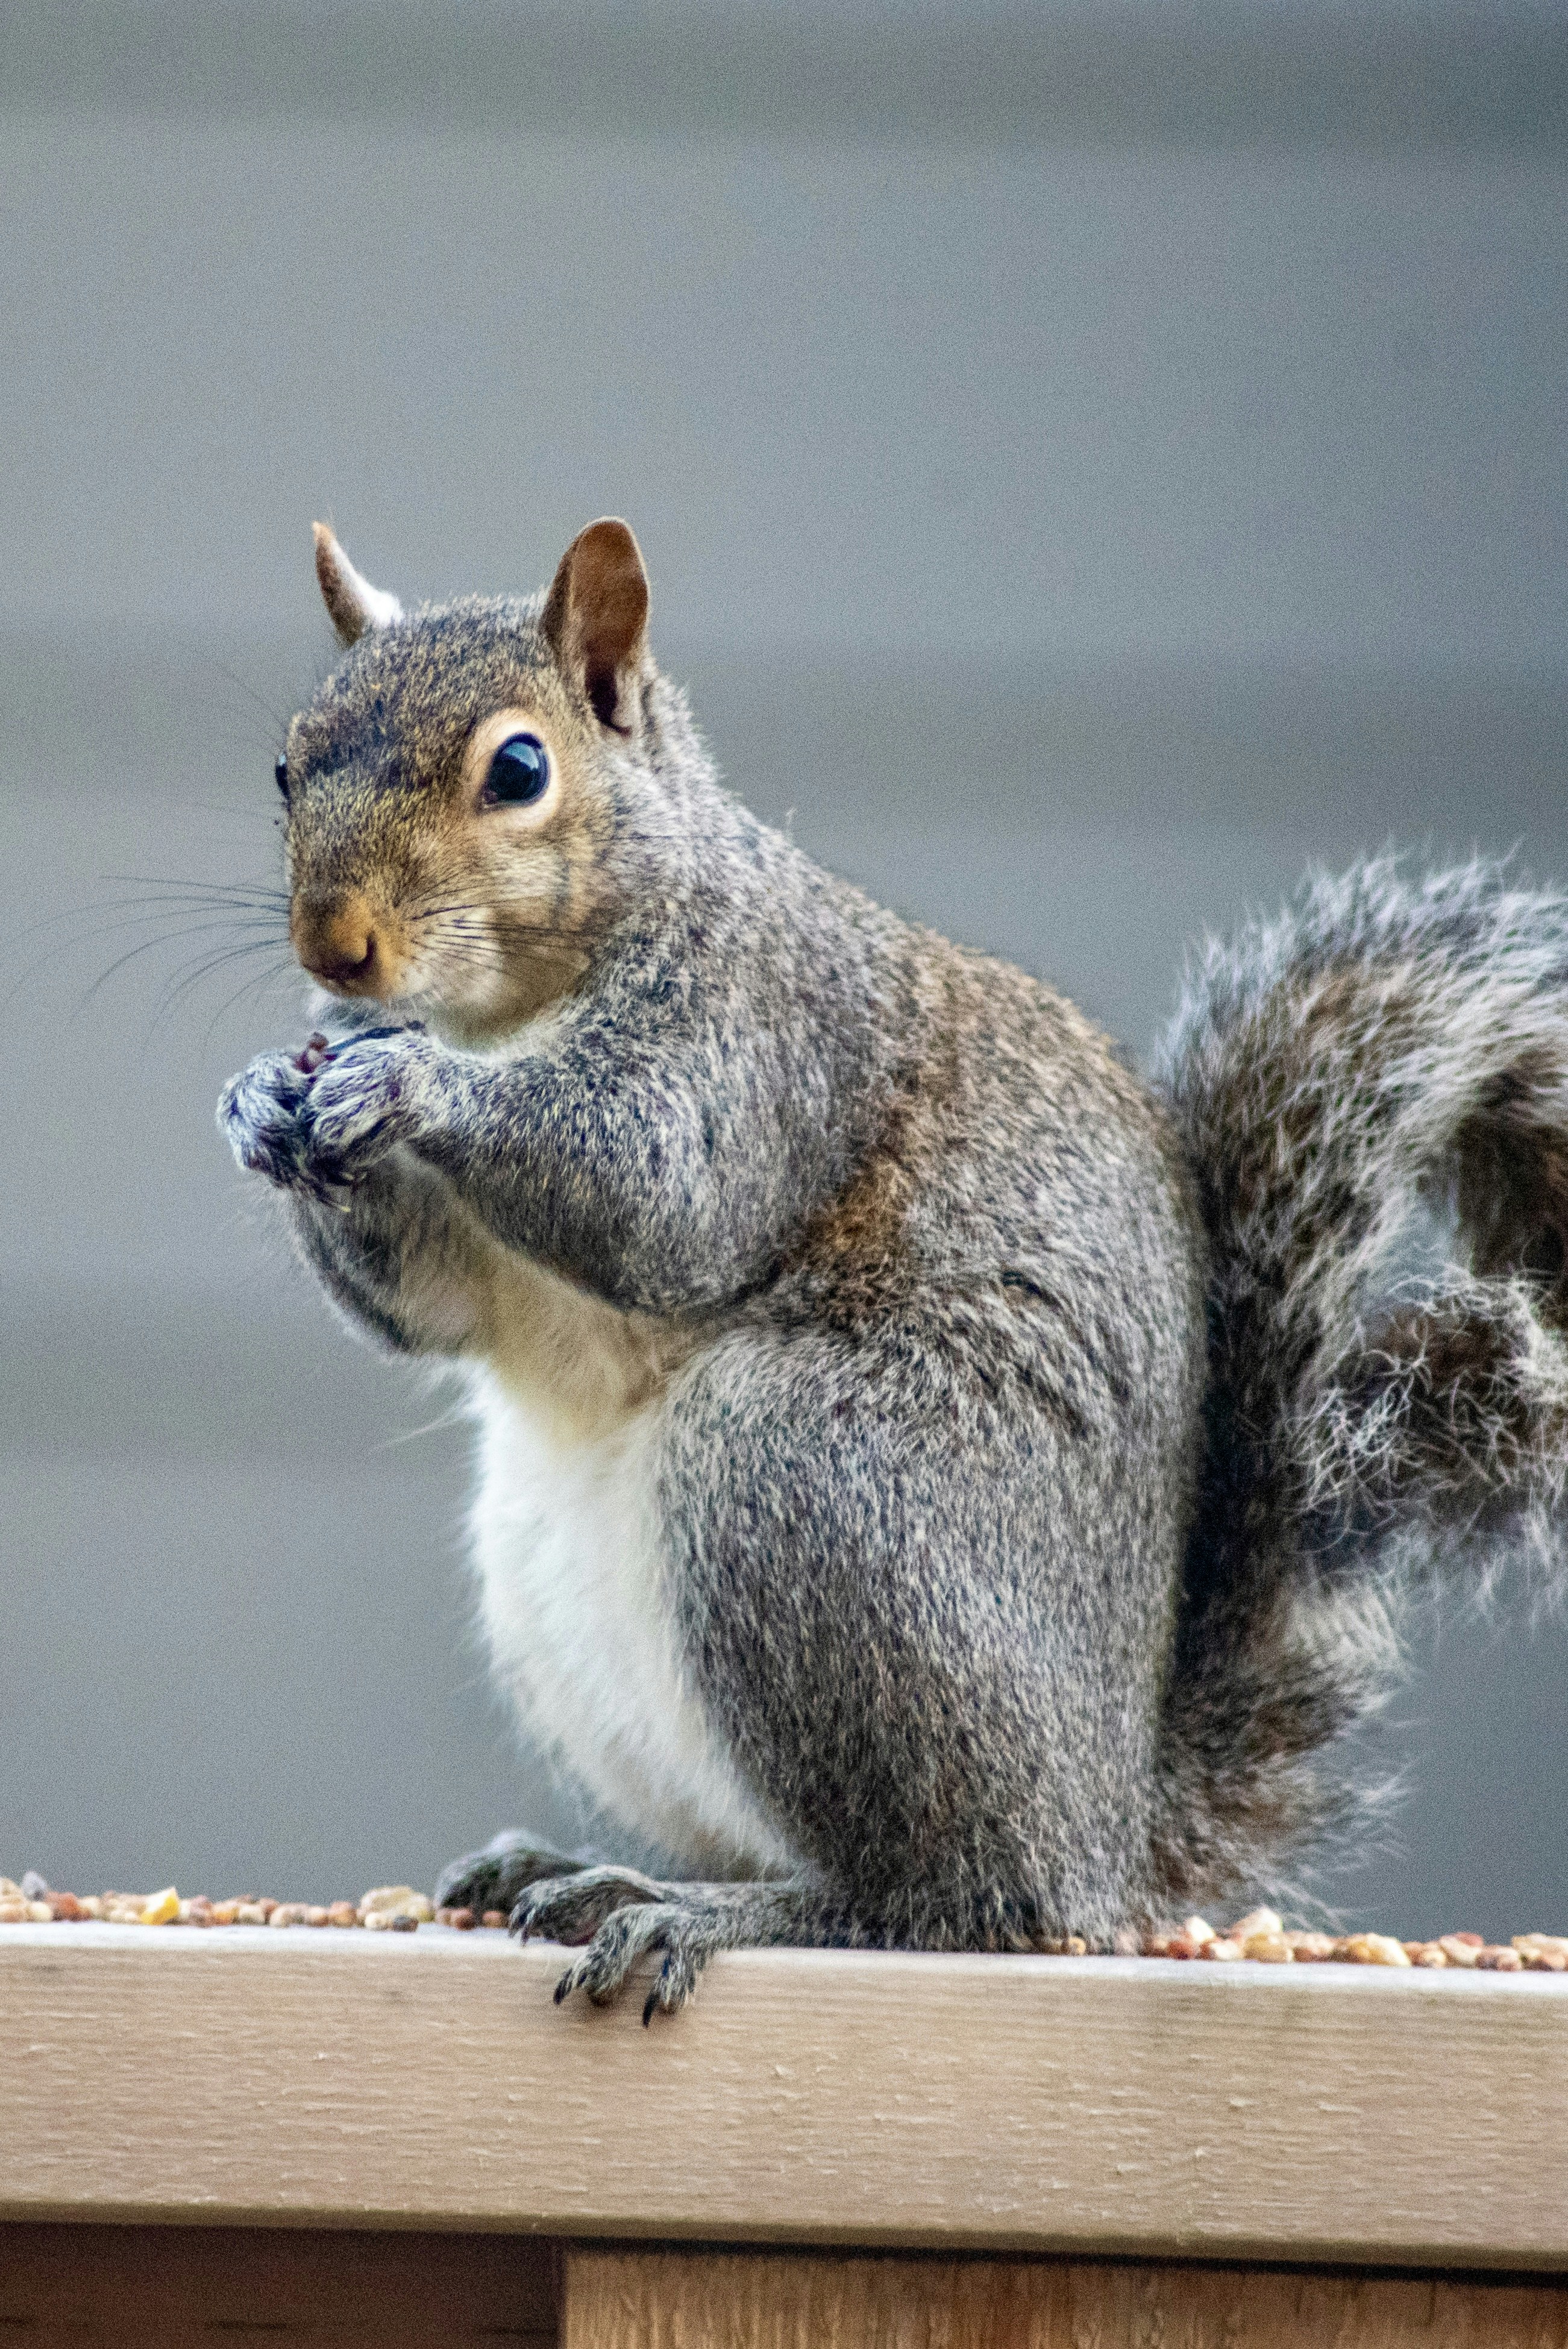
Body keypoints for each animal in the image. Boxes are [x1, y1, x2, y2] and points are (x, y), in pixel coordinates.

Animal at [221, 515, 1568, 2018]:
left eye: (518, 769)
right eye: (286, 761)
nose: (334, 945)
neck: (509, 1006)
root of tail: (1108, 1837)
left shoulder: (773, 1040)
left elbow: (659, 1194)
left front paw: (407, 1082)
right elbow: (434, 1307)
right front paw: (266, 1101)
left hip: (810, 1491)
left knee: (943, 1898)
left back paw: (705, 1909)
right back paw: (582, 1866)